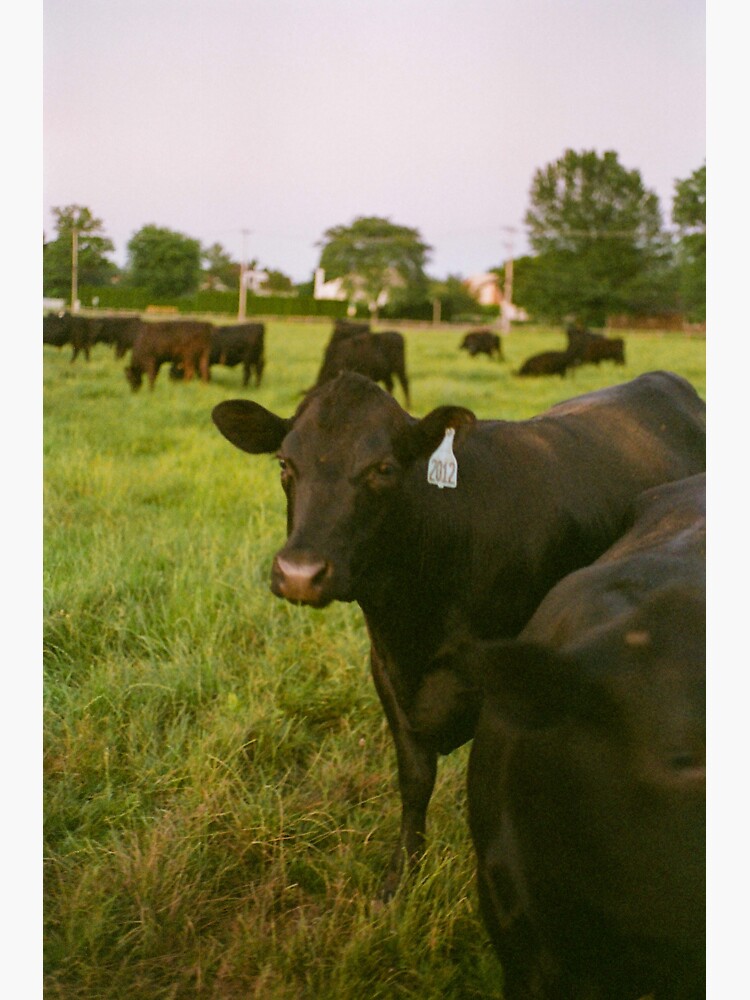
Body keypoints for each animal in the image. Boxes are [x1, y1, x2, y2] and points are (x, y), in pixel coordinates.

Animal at [211, 370, 705, 899]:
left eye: (383, 468)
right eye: (285, 463)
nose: (300, 573)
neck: (413, 621)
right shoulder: (385, 671)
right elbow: (414, 780)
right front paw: (401, 877)